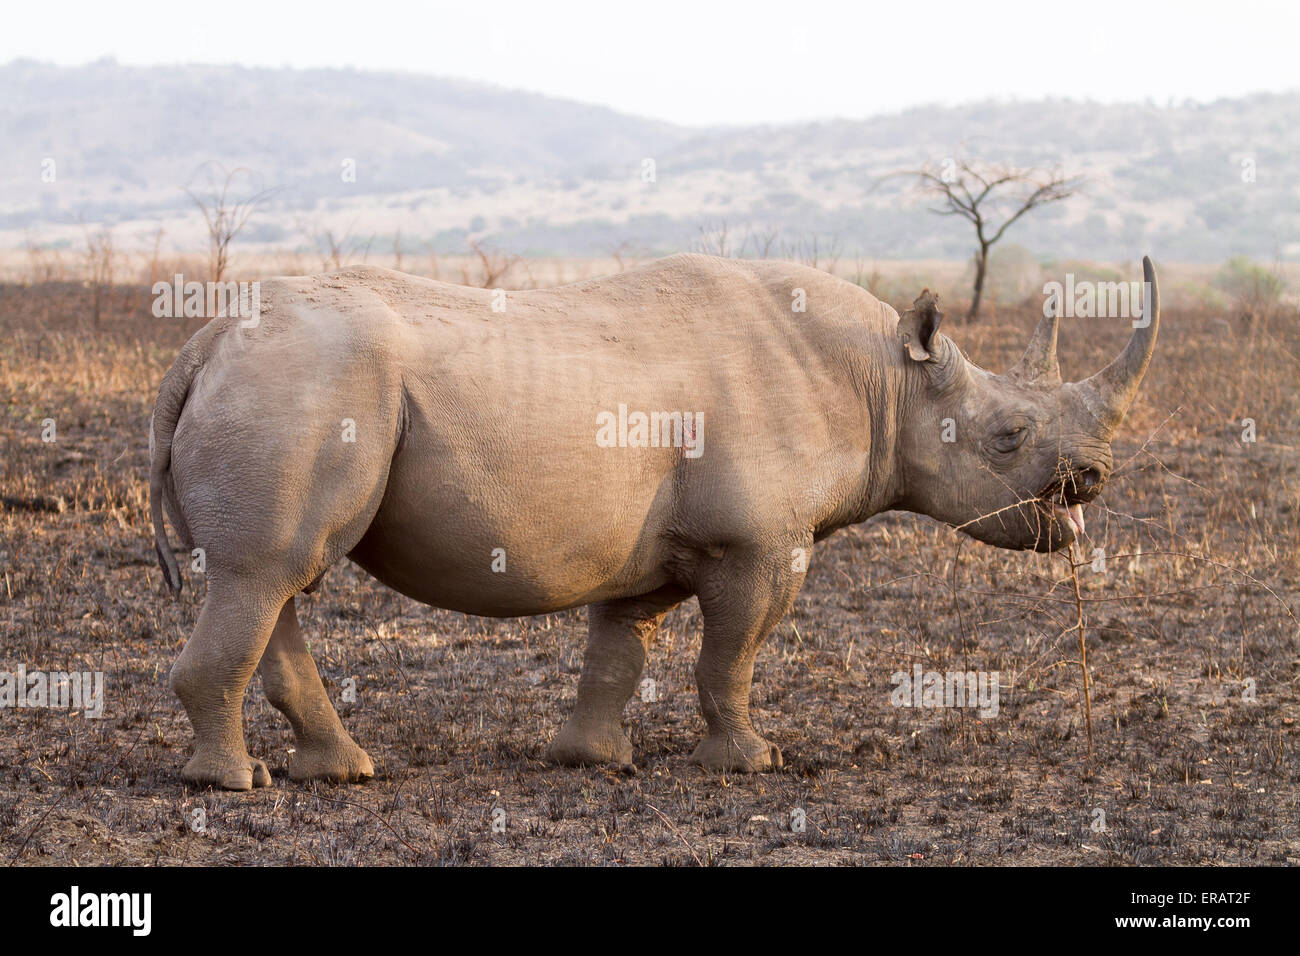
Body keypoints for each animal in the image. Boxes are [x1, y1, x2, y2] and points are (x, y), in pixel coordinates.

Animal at [149, 253, 1159, 789]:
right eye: (1008, 437)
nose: (1092, 482)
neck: (887, 383)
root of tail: (203, 344)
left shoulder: (653, 549)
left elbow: (620, 649)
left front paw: (591, 760)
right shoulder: (760, 544)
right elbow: (732, 655)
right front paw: (752, 762)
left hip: (289, 388)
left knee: (275, 580)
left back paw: (341, 770)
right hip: (301, 389)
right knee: (265, 573)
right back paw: (235, 784)